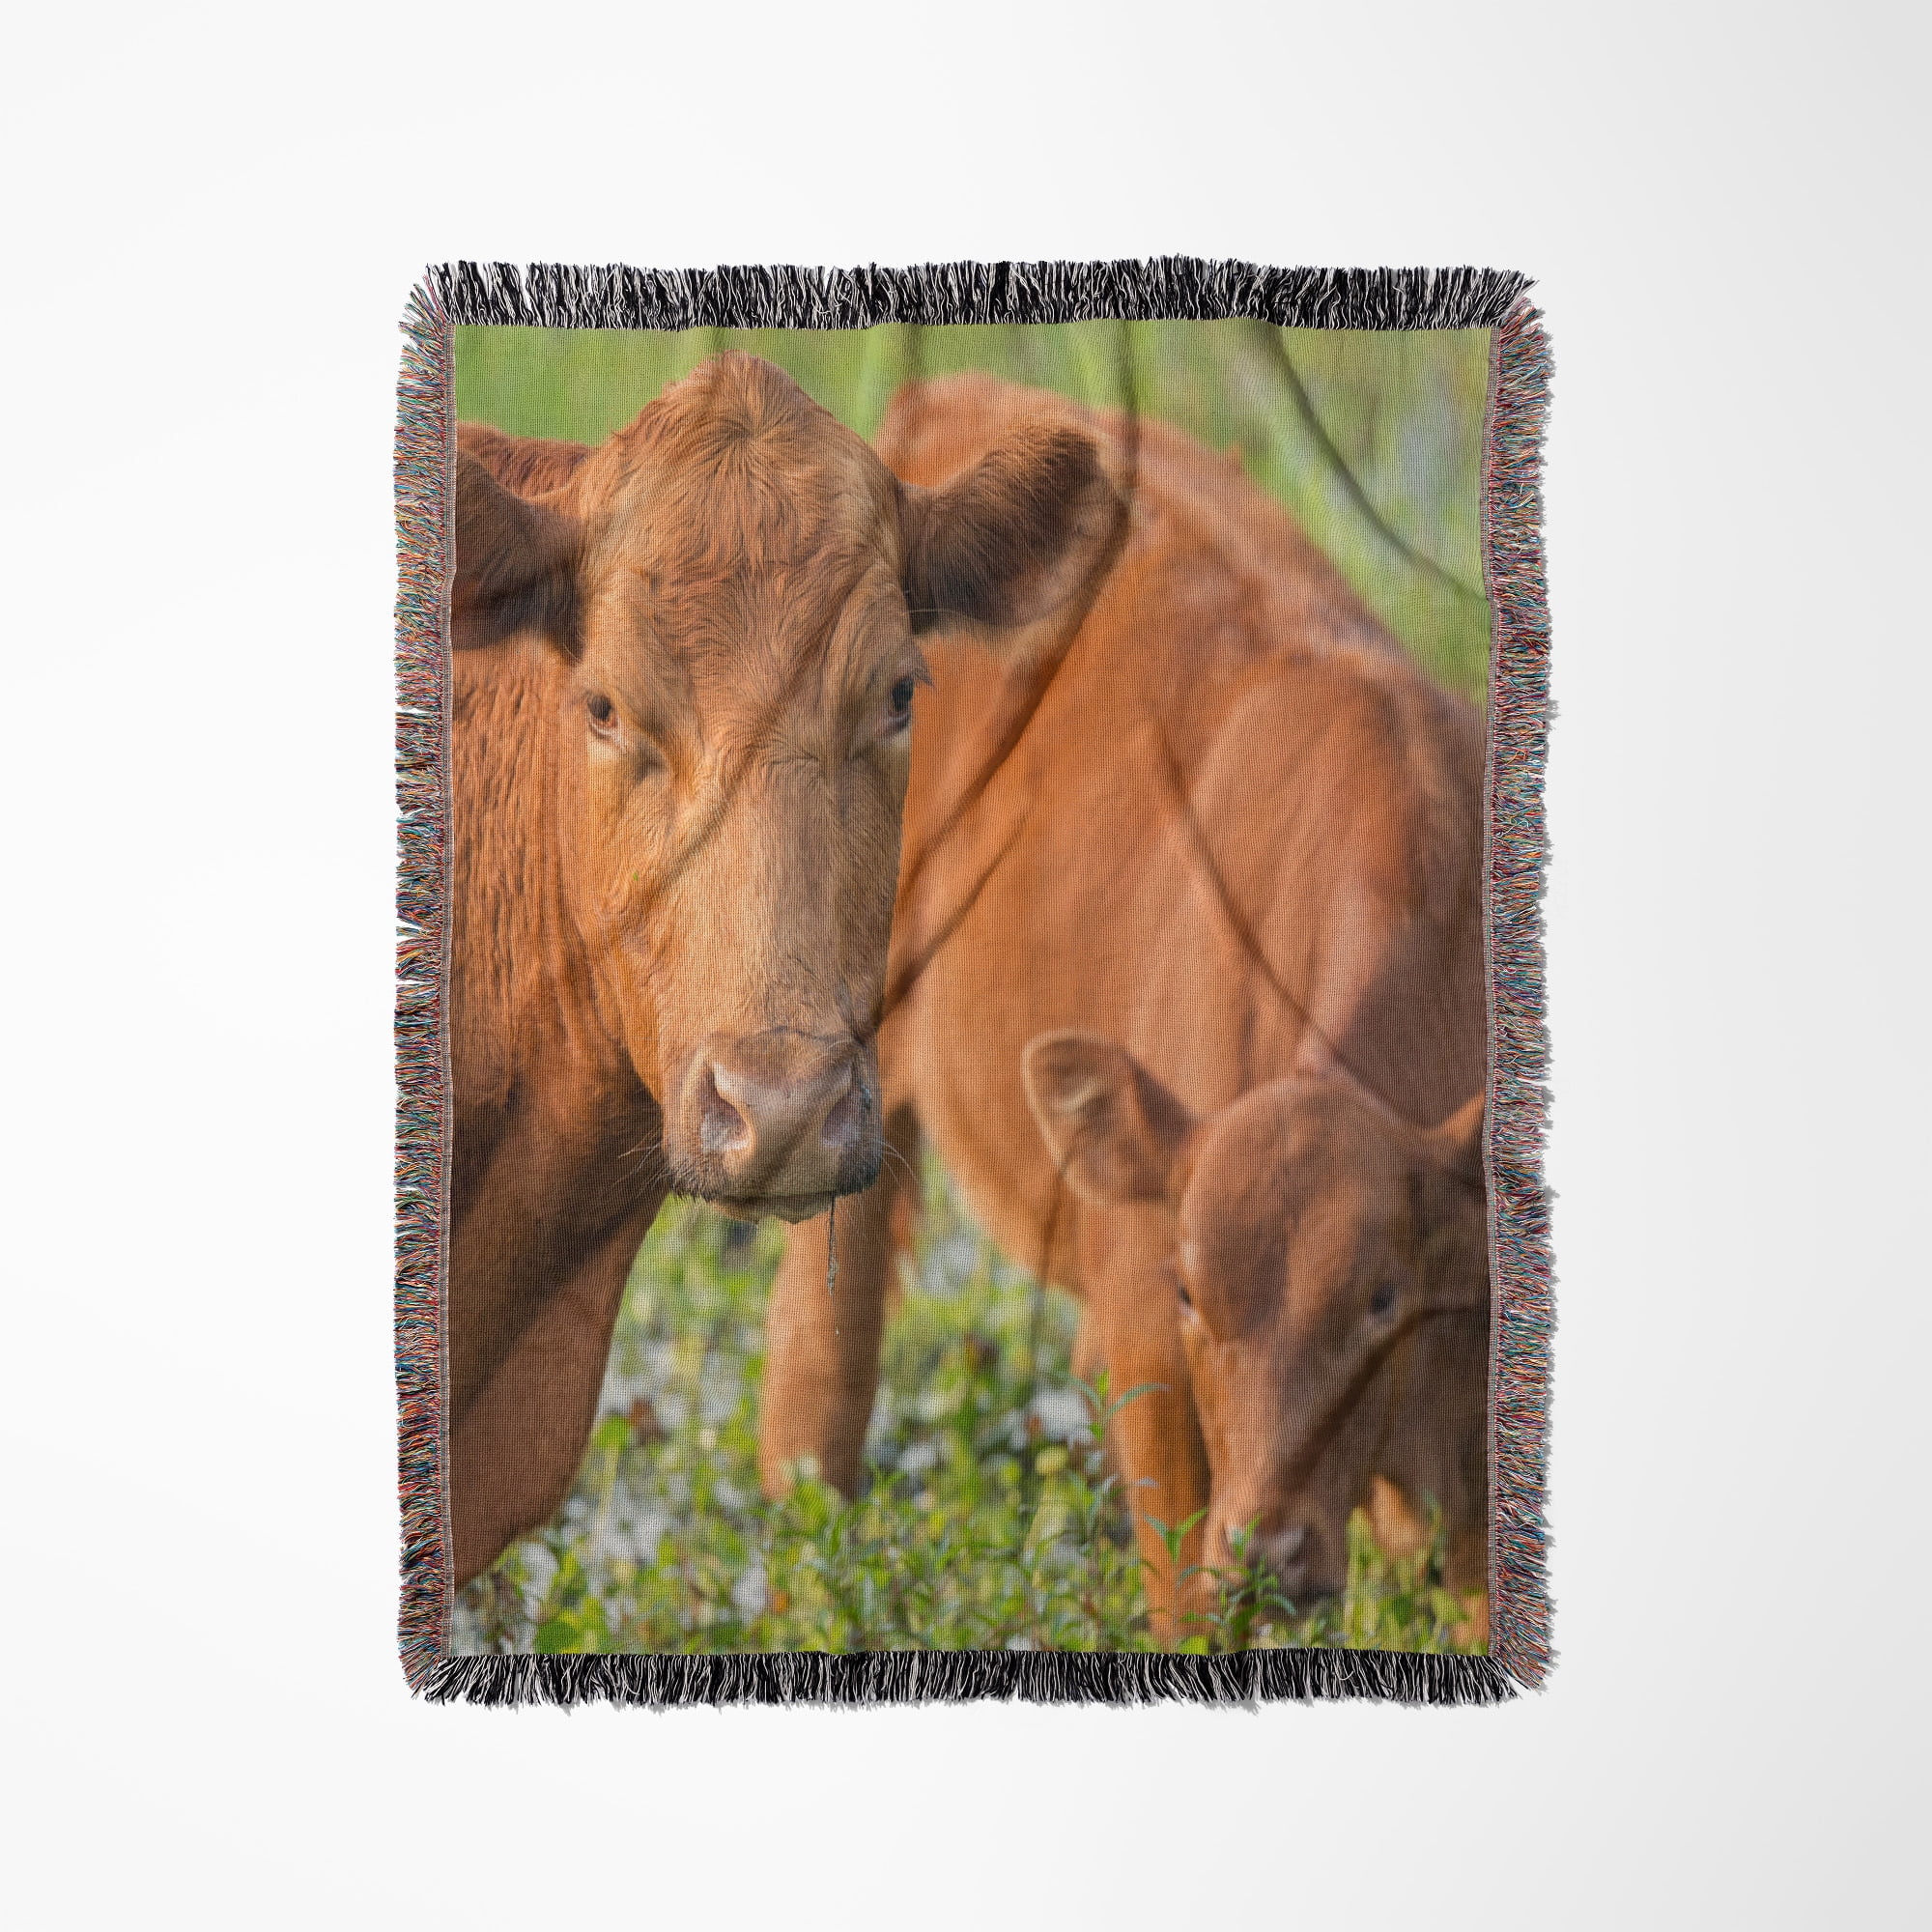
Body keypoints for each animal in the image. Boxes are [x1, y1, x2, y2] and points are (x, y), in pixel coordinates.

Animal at [755, 371, 1491, 1641]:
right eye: (1192, 1289)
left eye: (1381, 1295)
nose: (1270, 1549)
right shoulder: (1143, 1336)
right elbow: (1186, 1605)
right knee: (813, 1382)